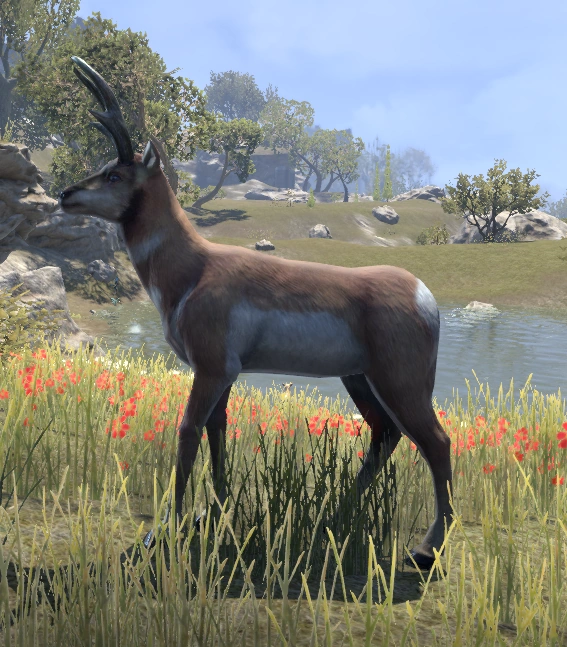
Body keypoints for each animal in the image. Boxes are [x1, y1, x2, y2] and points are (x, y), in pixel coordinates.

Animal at [59, 57, 453, 570]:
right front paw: (214, 512)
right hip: (360, 377)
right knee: (385, 434)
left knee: (436, 441)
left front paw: (161, 532)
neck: (193, 269)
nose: (65, 194)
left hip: (400, 379)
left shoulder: (211, 366)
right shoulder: (226, 372)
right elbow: (218, 431)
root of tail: (425, 295)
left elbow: (187, 431)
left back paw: (424, 551)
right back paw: (333, 516)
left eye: (114, 175)